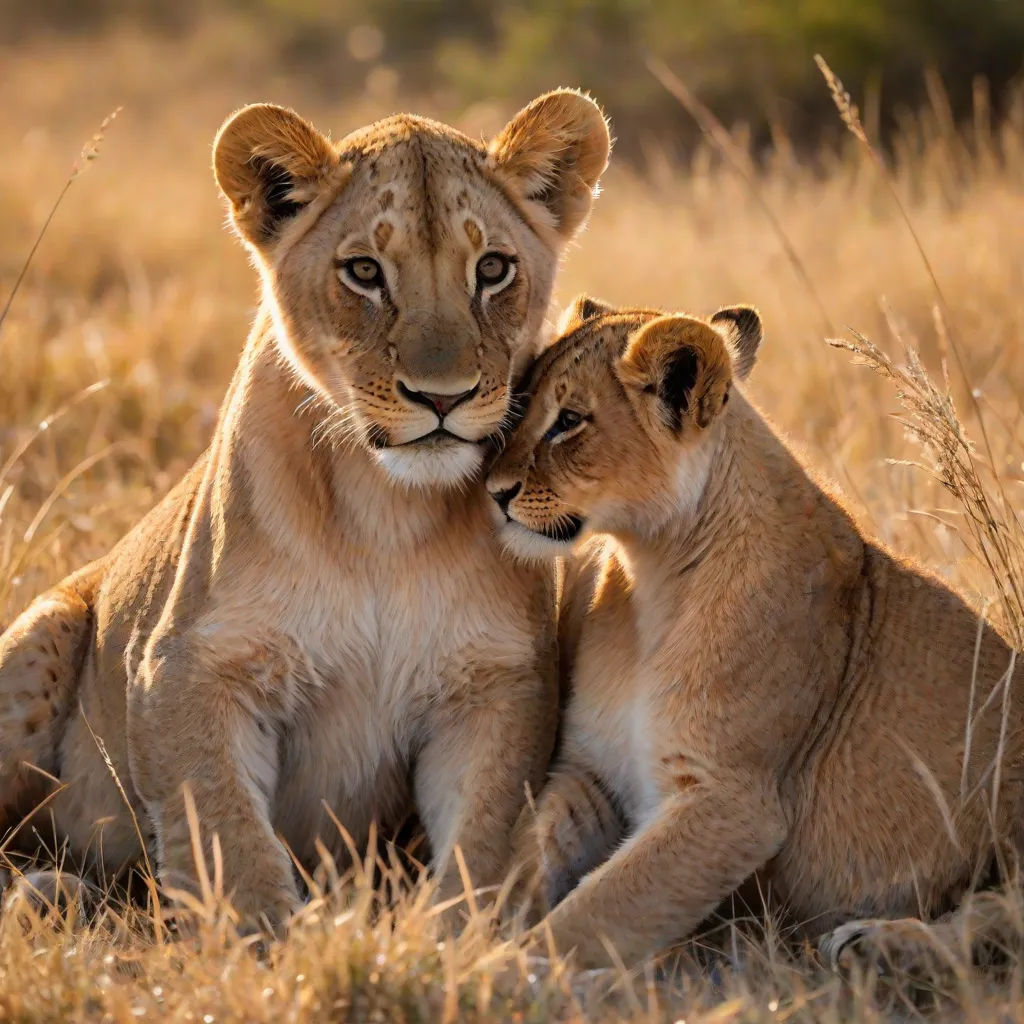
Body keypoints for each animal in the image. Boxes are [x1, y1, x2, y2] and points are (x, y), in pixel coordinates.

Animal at [0, 93, 610, 928]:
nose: (442, 397)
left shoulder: (496, 683)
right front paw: (260, 947)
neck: (387, 512)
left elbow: (480, 845)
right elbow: (229, 841)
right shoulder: (189, 668)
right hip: (43, 634)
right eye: (364, 272)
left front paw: (453, 943)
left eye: (492, 269)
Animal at [484, 296, 1024, 968]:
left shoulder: (735, 802)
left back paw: (877, 944)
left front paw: (504, 970)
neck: (653, 574)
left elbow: (597, 911)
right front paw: (463, 931)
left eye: (570, 421)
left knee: (997, 917)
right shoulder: (592, 773)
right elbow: (526, 862)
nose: (492, 491)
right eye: (521, 402)